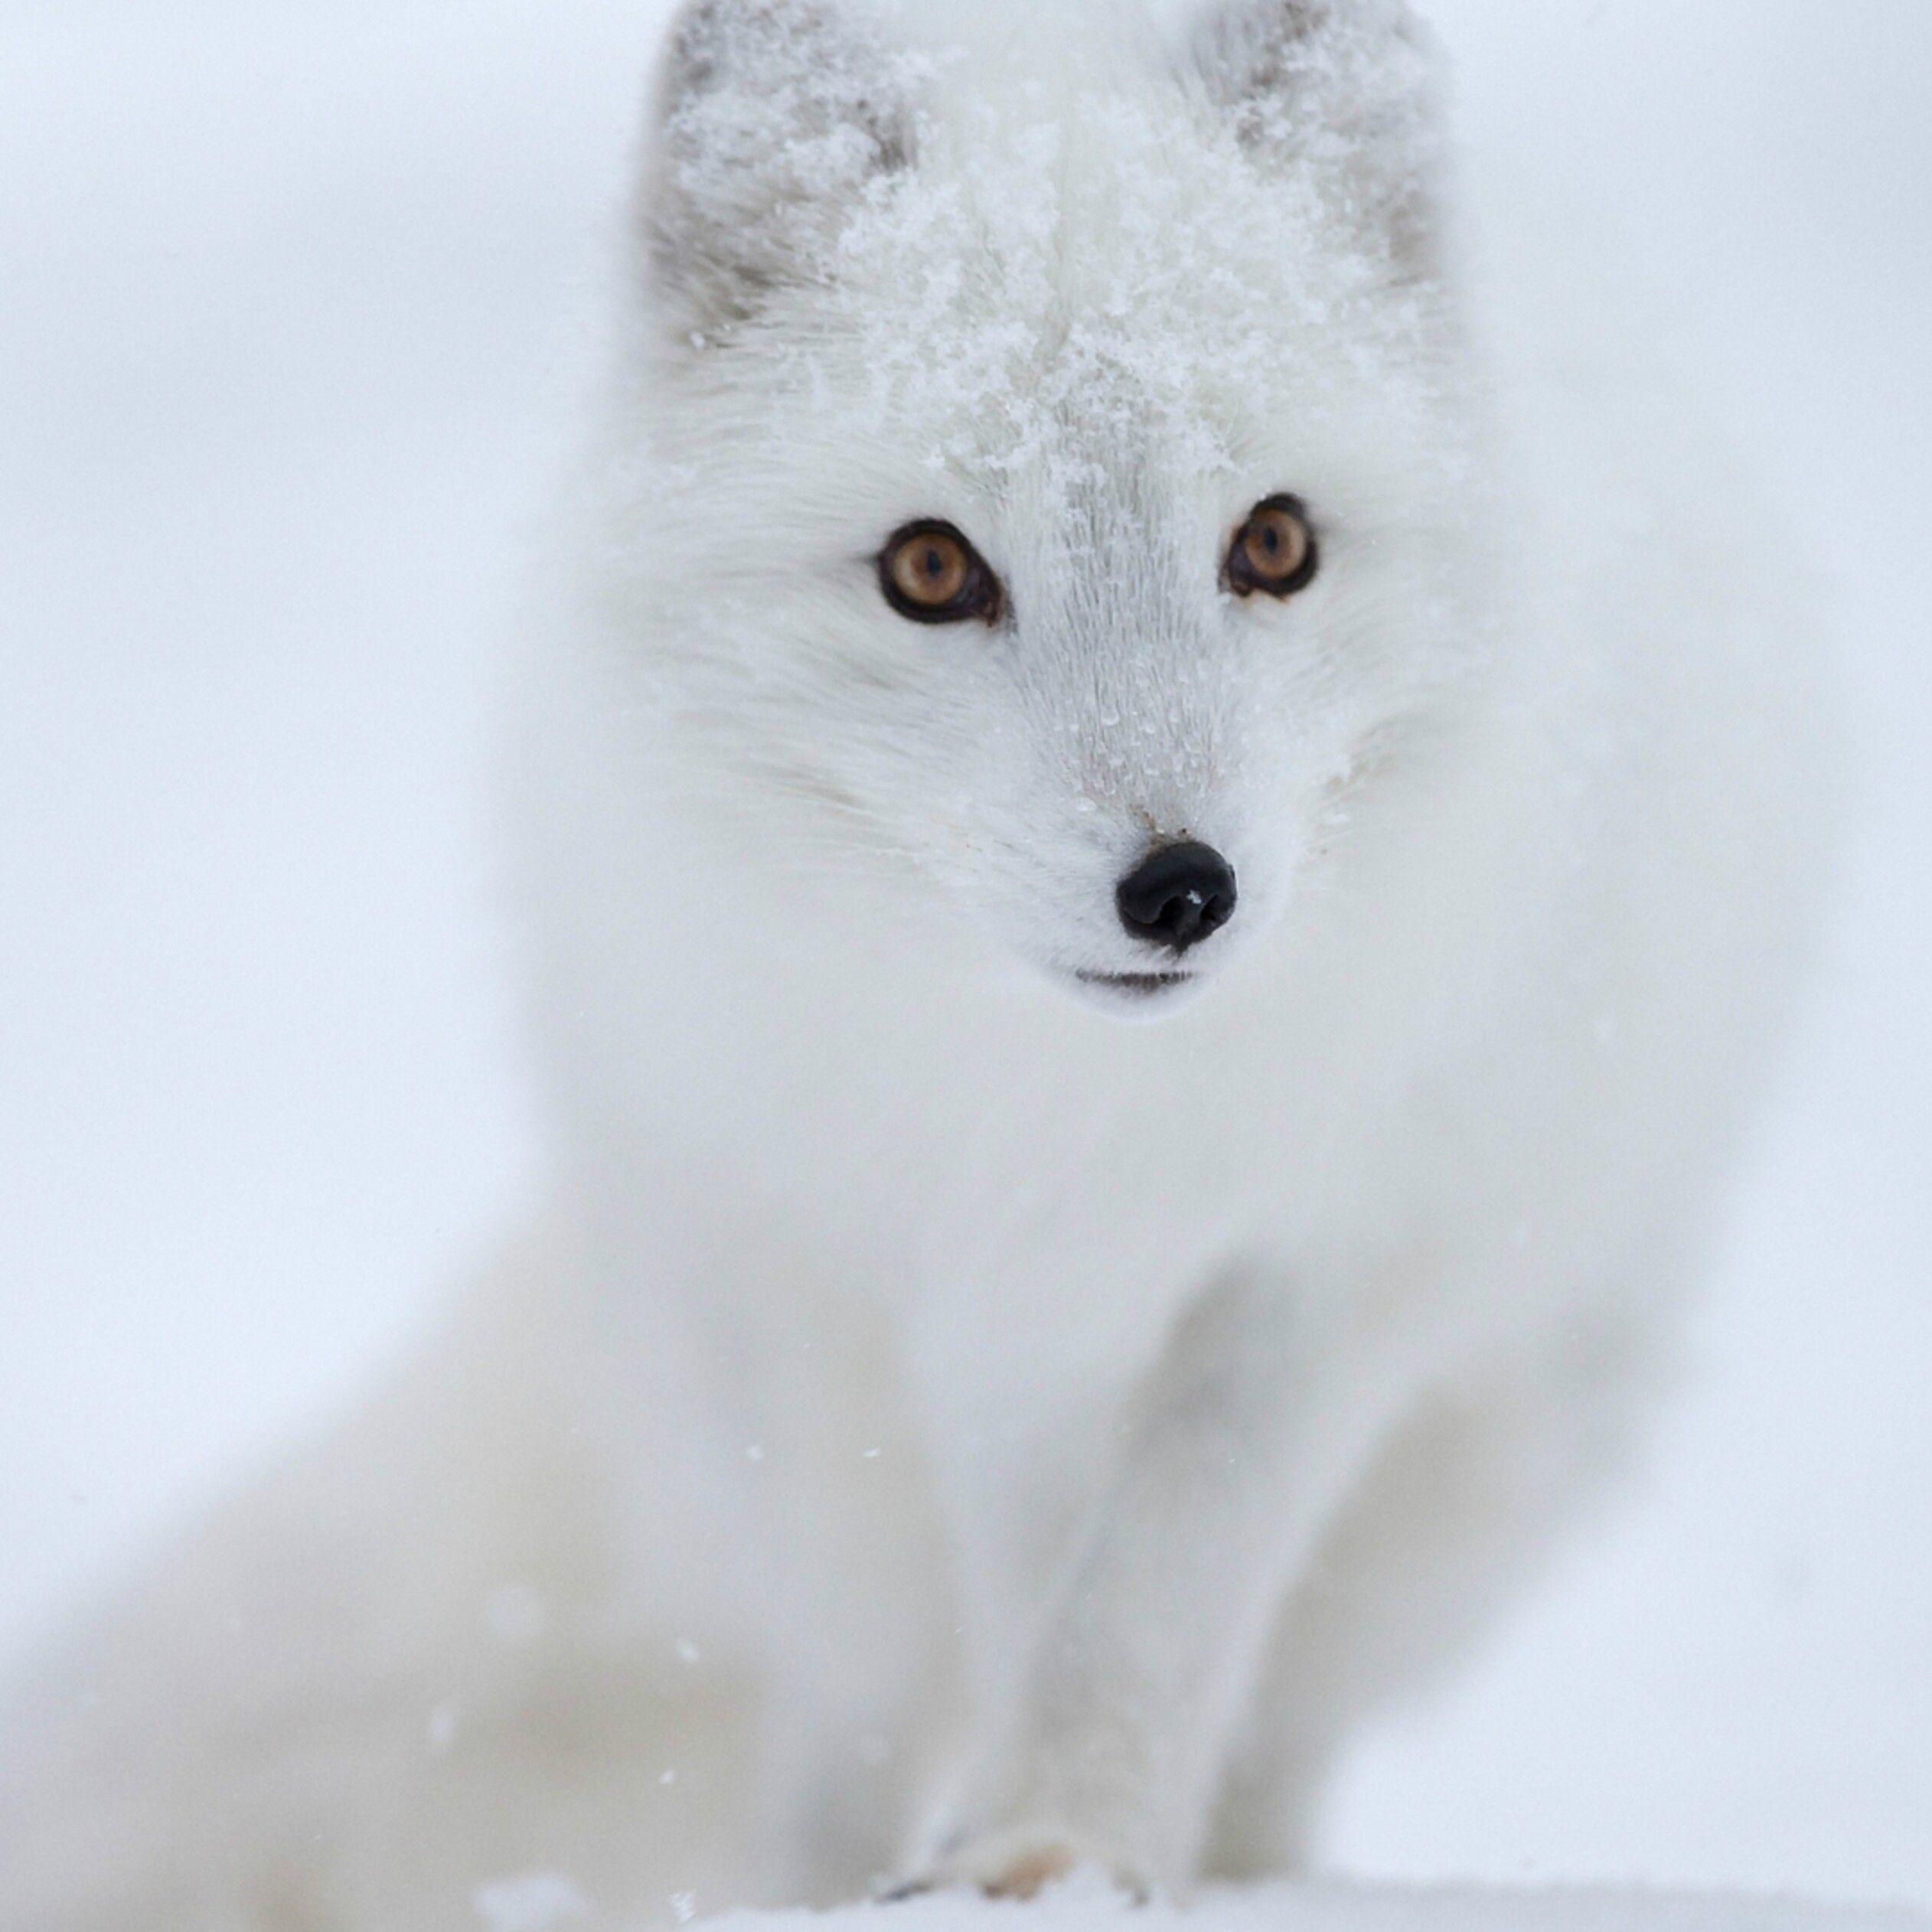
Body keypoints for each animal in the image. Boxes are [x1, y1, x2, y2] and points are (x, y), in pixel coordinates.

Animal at [0, 1, 1829, 1927]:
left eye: (1273, 542)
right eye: (931, 567)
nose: (1181, 891)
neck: (1065, 1119)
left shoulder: (1322, 1269)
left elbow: (1153, 1584)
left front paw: (1059, 1843)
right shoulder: (900, 1302)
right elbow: (949, 1636)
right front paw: (924, 1871)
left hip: (1495, 1442)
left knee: (1272, 1717)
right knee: (860, 1663)